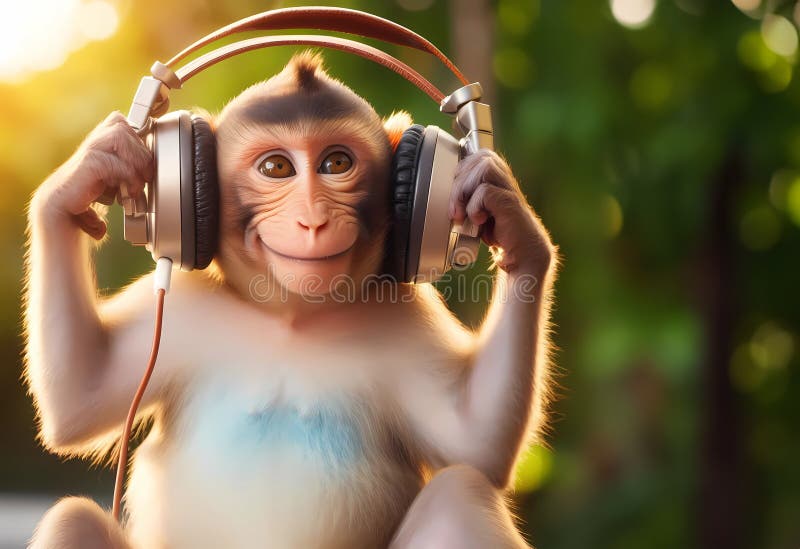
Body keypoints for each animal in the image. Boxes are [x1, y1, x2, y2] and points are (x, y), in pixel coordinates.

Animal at [24, 53, 557, 549]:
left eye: (336, 163)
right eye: (277, 168)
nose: (313, 218)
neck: (291, 317)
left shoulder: (409, 318)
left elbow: (477, 441)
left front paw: (509, 218)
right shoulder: (182, 311)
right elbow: (81, 395)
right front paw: (88, 174)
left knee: (461, 492)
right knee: (75, 517)